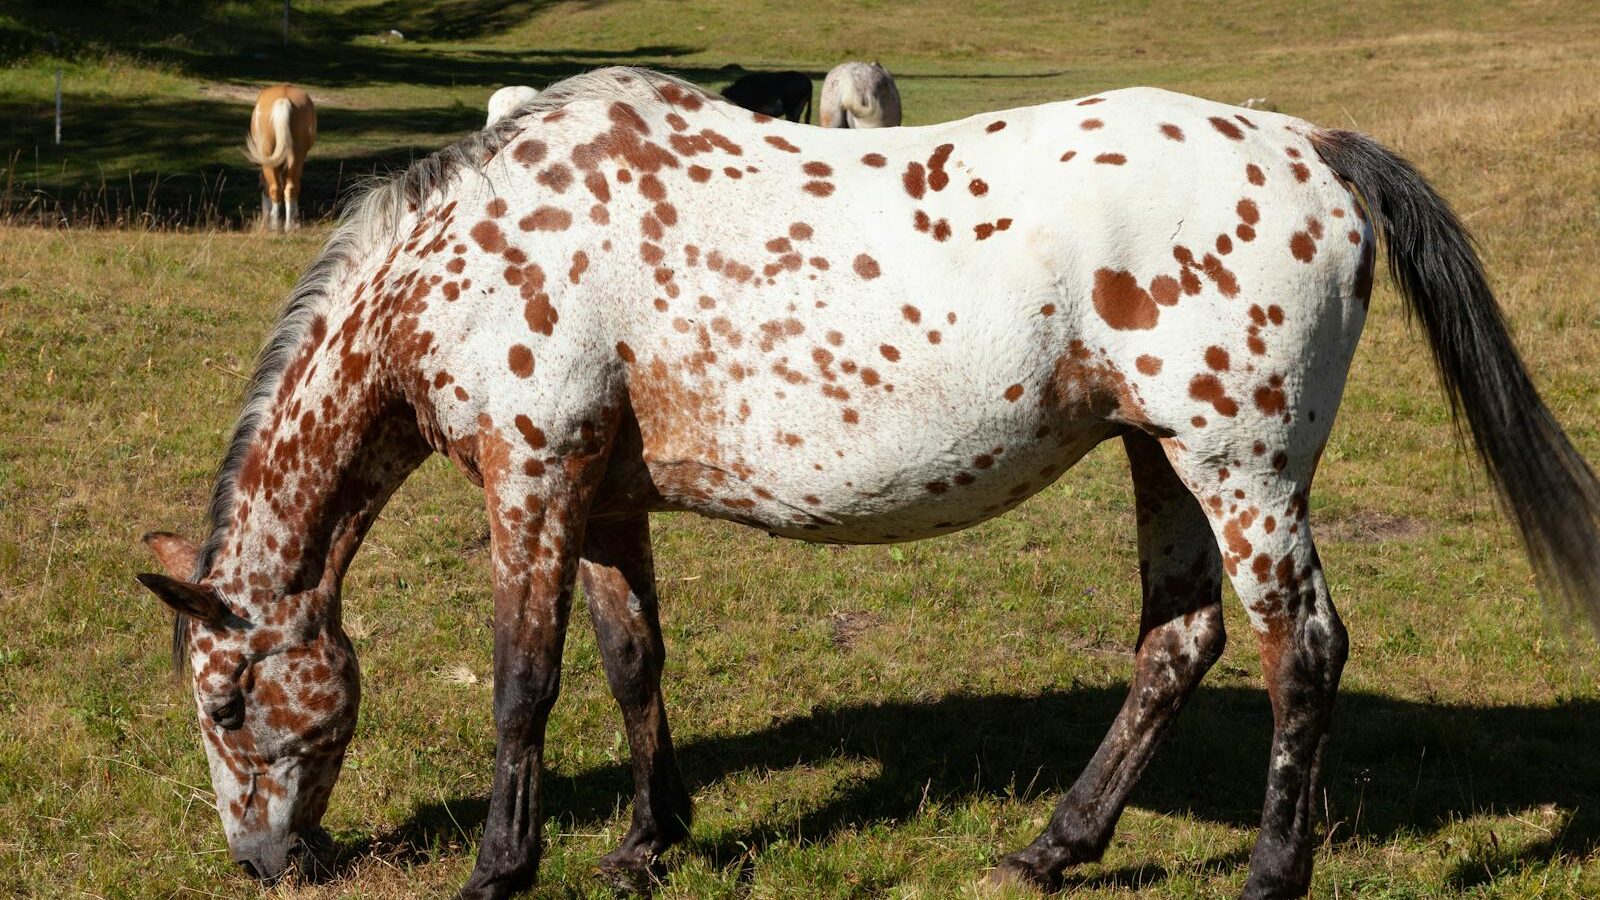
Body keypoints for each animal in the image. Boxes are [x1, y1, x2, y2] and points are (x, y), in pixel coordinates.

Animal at [245, 84, 318, 231]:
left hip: (269, 157)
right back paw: (288, 226)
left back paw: (276, 226)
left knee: (276, 188)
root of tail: (283, 100)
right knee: (289, 187)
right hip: (296, 157)